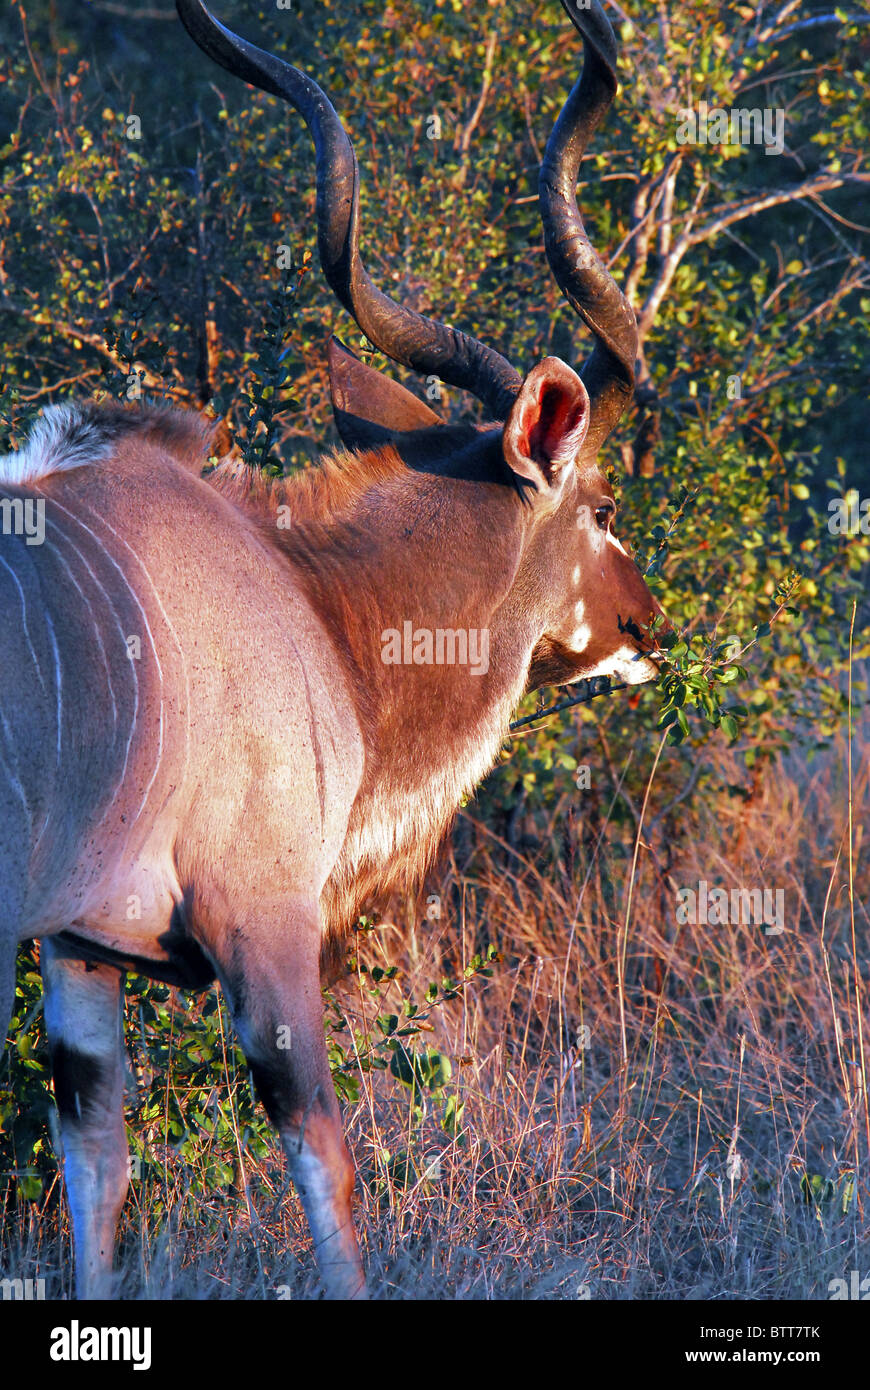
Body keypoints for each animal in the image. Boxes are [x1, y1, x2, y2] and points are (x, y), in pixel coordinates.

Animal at [0, 0, 663, 1299]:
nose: (649, 623)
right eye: (603, 501)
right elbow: (327, 1162)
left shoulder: (78, 946)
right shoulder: (265, 928)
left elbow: (95, 1165)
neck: (306, 605)